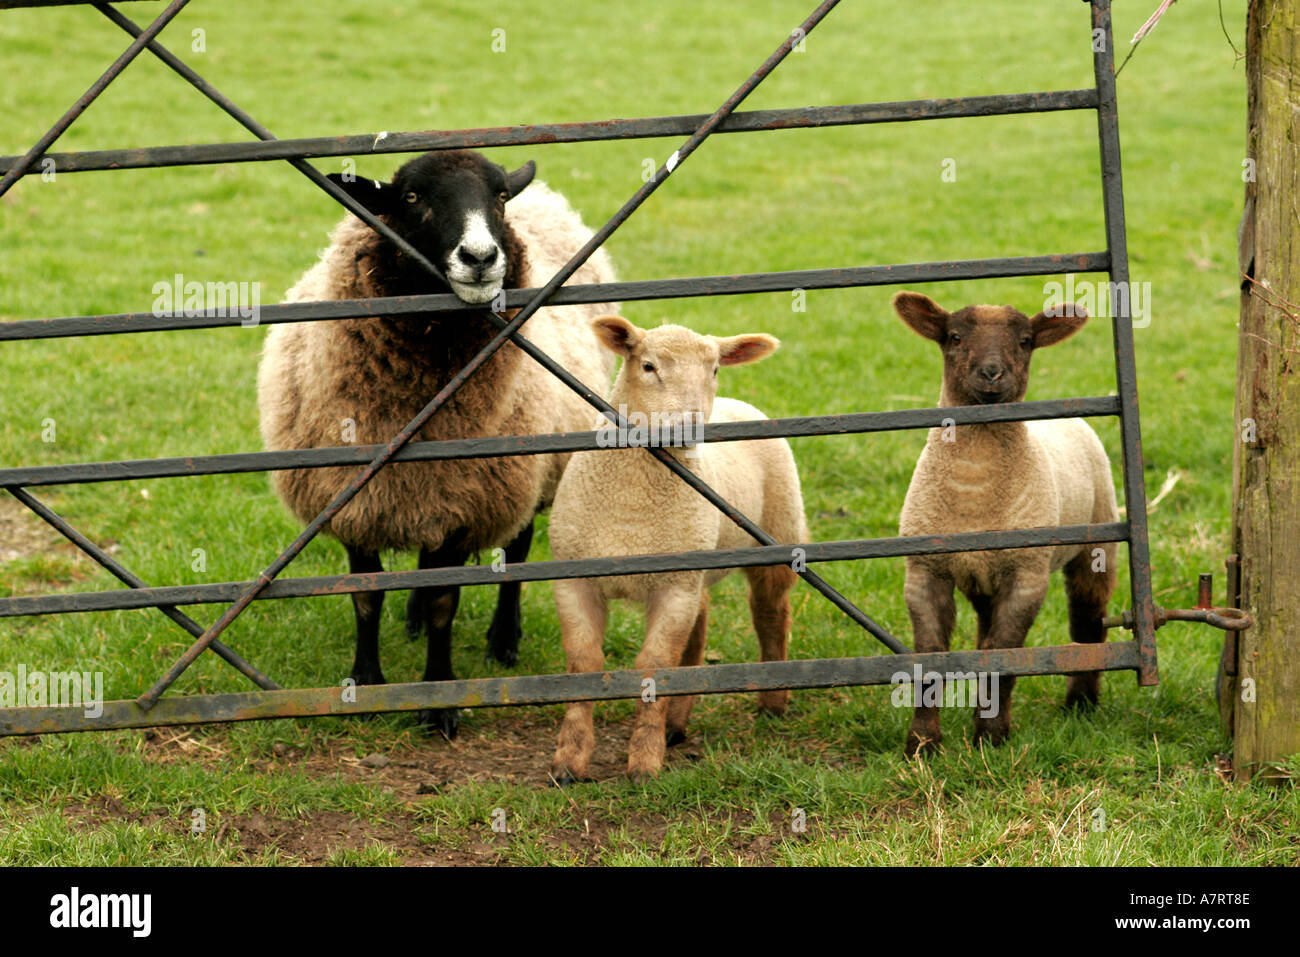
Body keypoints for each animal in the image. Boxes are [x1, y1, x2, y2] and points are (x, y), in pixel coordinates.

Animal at [257, 150, 618, 738]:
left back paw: (503, 639)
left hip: (527, 470)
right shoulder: (355, 498)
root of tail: (544, 199)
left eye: (498, 196)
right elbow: (366, 595)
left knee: (516, 550)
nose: (480, 256)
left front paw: (439, 697)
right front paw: (367, 680)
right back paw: (414, 616)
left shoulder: (466, 498)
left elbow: (447, 600)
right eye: (411, 197)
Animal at [547, 316, 808, 783]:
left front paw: (644, 763)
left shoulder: (674, 589)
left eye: (715, 369)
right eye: (648, 366)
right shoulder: (575, 579)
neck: (632, 510)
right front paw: (569, 761)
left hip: (777, 536)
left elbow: (656, 665)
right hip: (695, 565)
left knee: (770, 615)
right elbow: (583, 663)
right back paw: (676, 725)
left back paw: (772, 702)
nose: (687, 423)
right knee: (698, 637)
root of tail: (741, 404)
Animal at [890, 291, 1119, 756]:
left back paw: (1081, 704)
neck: (975, 490)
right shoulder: (925, 571)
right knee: (984, 633)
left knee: (1088, 621)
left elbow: (1005, 653)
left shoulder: (1025, 575)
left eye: (1026, 341)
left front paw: (992, 737)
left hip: (1096, 544)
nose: (992, 373)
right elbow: (932, 657)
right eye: (954, 337)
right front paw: (922, 743)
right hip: (983, 579)